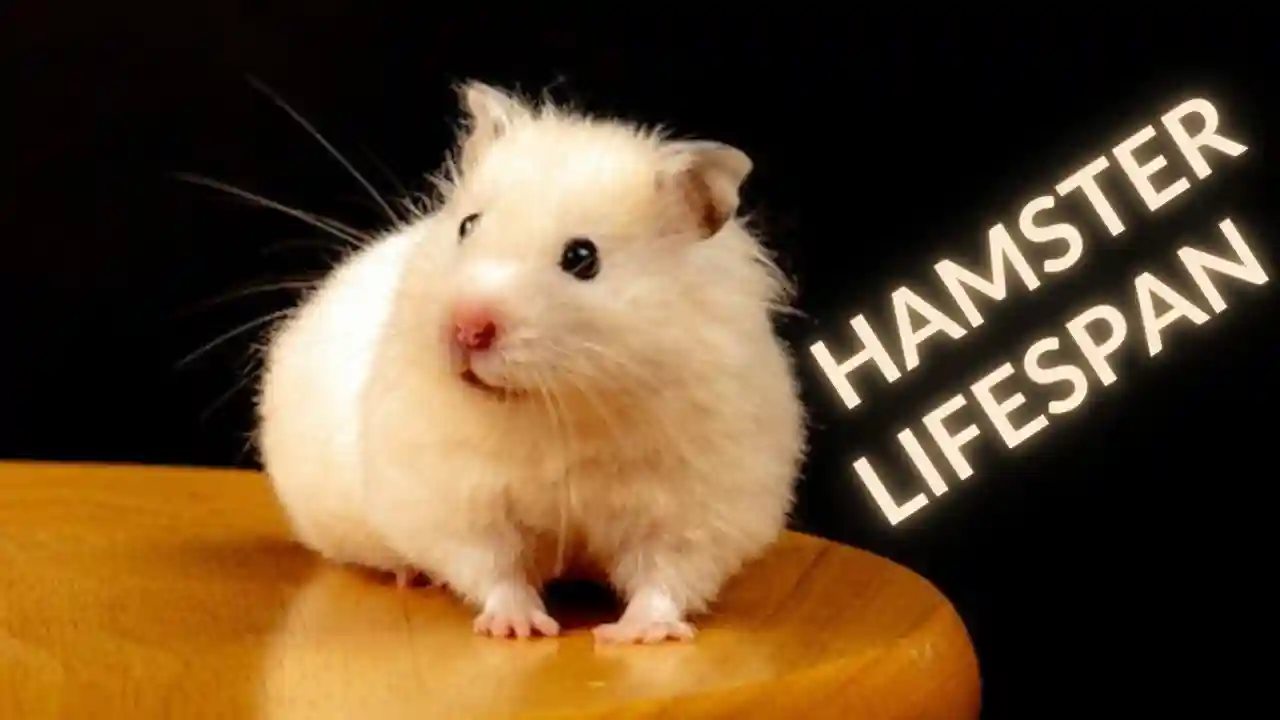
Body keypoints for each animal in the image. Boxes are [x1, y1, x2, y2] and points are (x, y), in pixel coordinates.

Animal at [255, 81, 807, 644]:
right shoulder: (459, 498)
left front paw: (636, 634)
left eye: (582, 258)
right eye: (467, 225)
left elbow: (666, 575)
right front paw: (519, 627)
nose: (466, 327)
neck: (560, 408)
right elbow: (494, 567)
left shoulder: (696, 507)